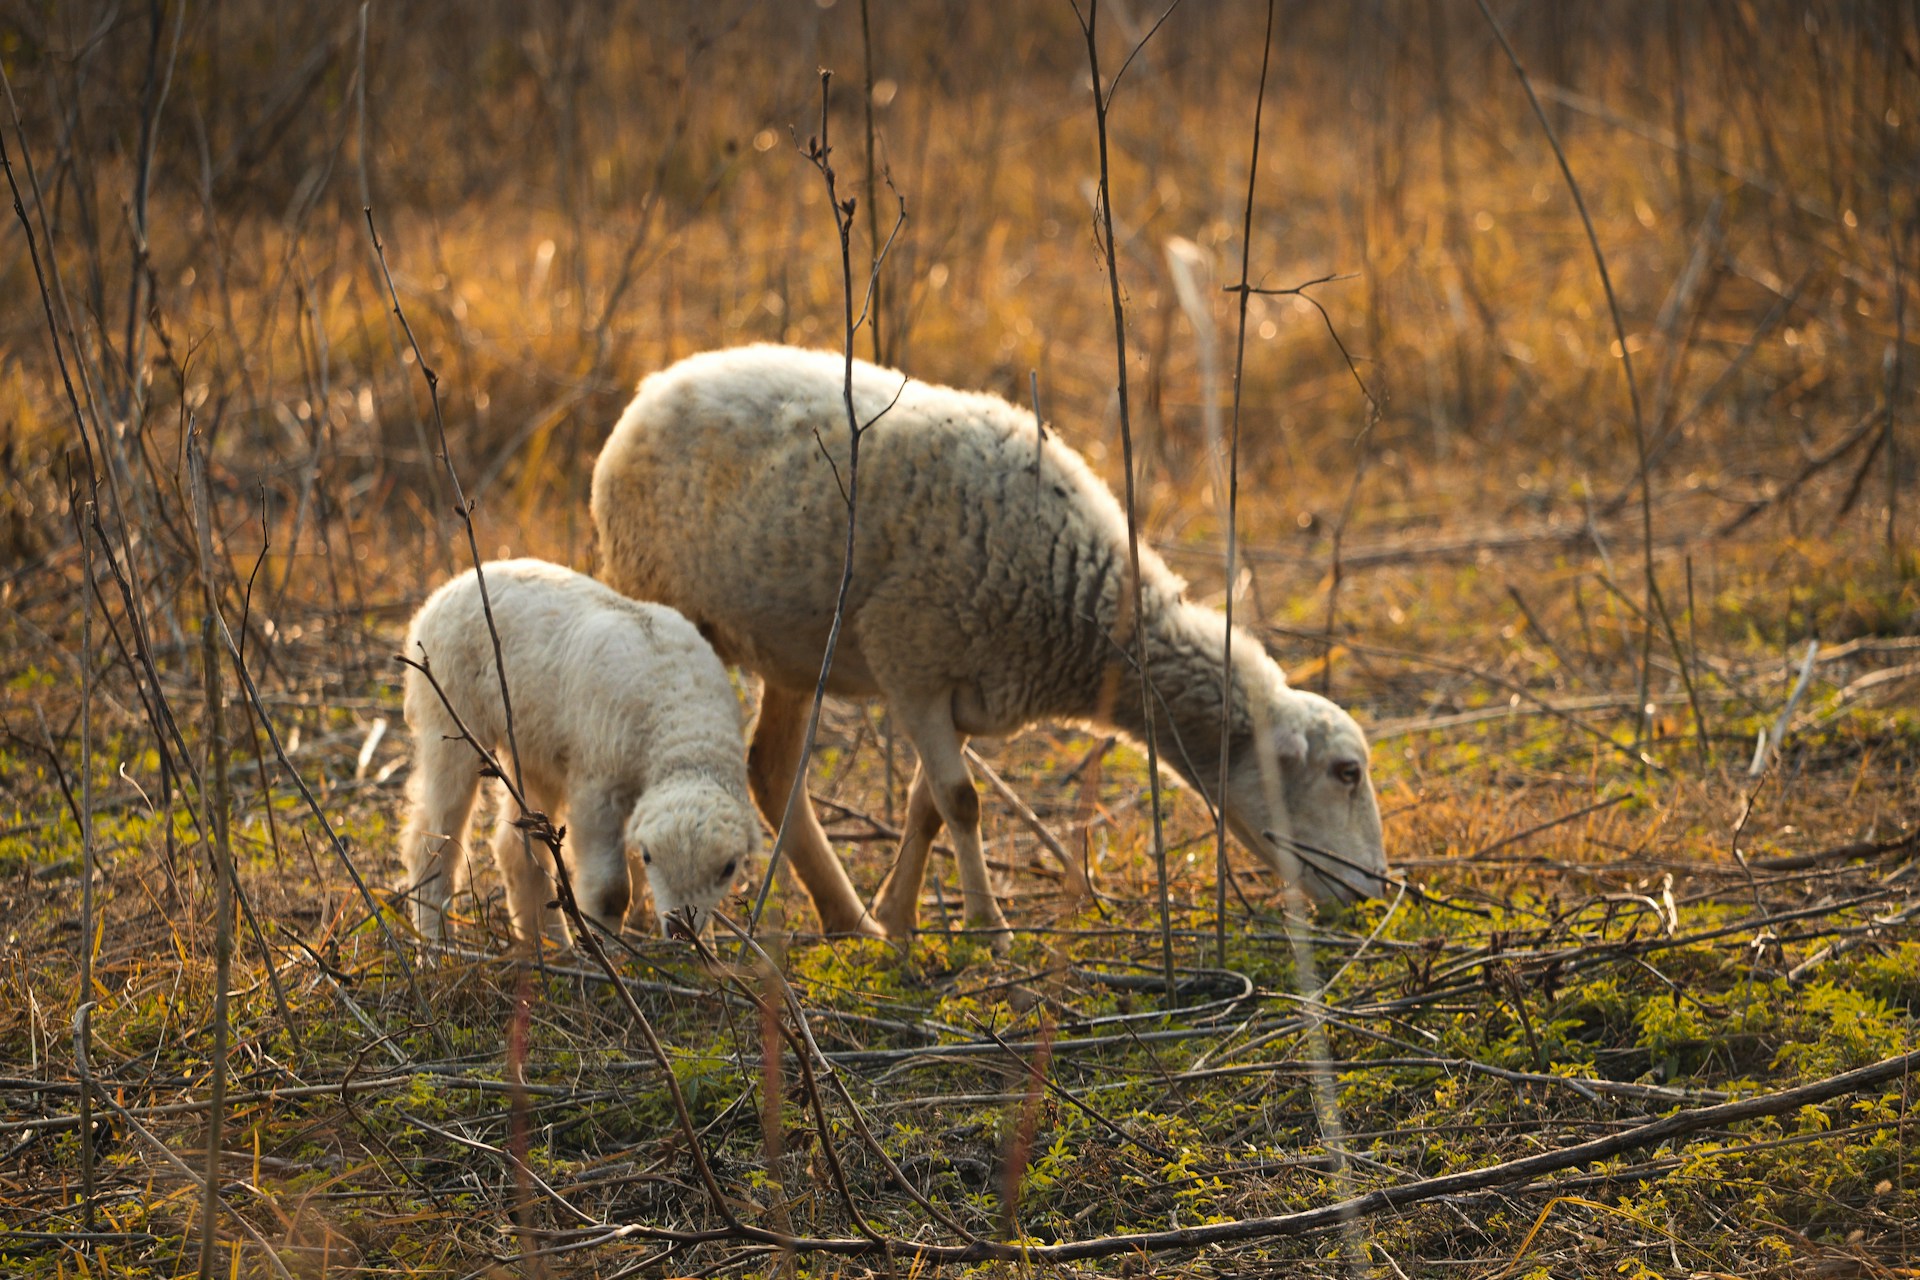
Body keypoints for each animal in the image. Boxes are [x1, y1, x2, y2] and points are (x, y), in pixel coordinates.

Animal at [398, 558, 760, 948]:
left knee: (516, 849)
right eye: (648, 856)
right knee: (433, 838)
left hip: (532, 745)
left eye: (729, 868)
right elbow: (610, 891)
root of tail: (443, 591)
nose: (679, 931)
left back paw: (550, 943)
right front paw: (610, 950)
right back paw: (435, 943)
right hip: (448, 715)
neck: (682, 720)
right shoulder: (597, 785)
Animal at [589, 344, 1389, 944]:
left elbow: (927, 807)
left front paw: (899, 919)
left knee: (772, 769)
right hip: (666, 599)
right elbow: (962, 801)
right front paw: (988, 928)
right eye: (1346, 773)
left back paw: (848, 920)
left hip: (793, 649)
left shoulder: (971, 691)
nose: (1380, 892)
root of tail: (653, 388)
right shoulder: (910, 664)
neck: (1085, 612)